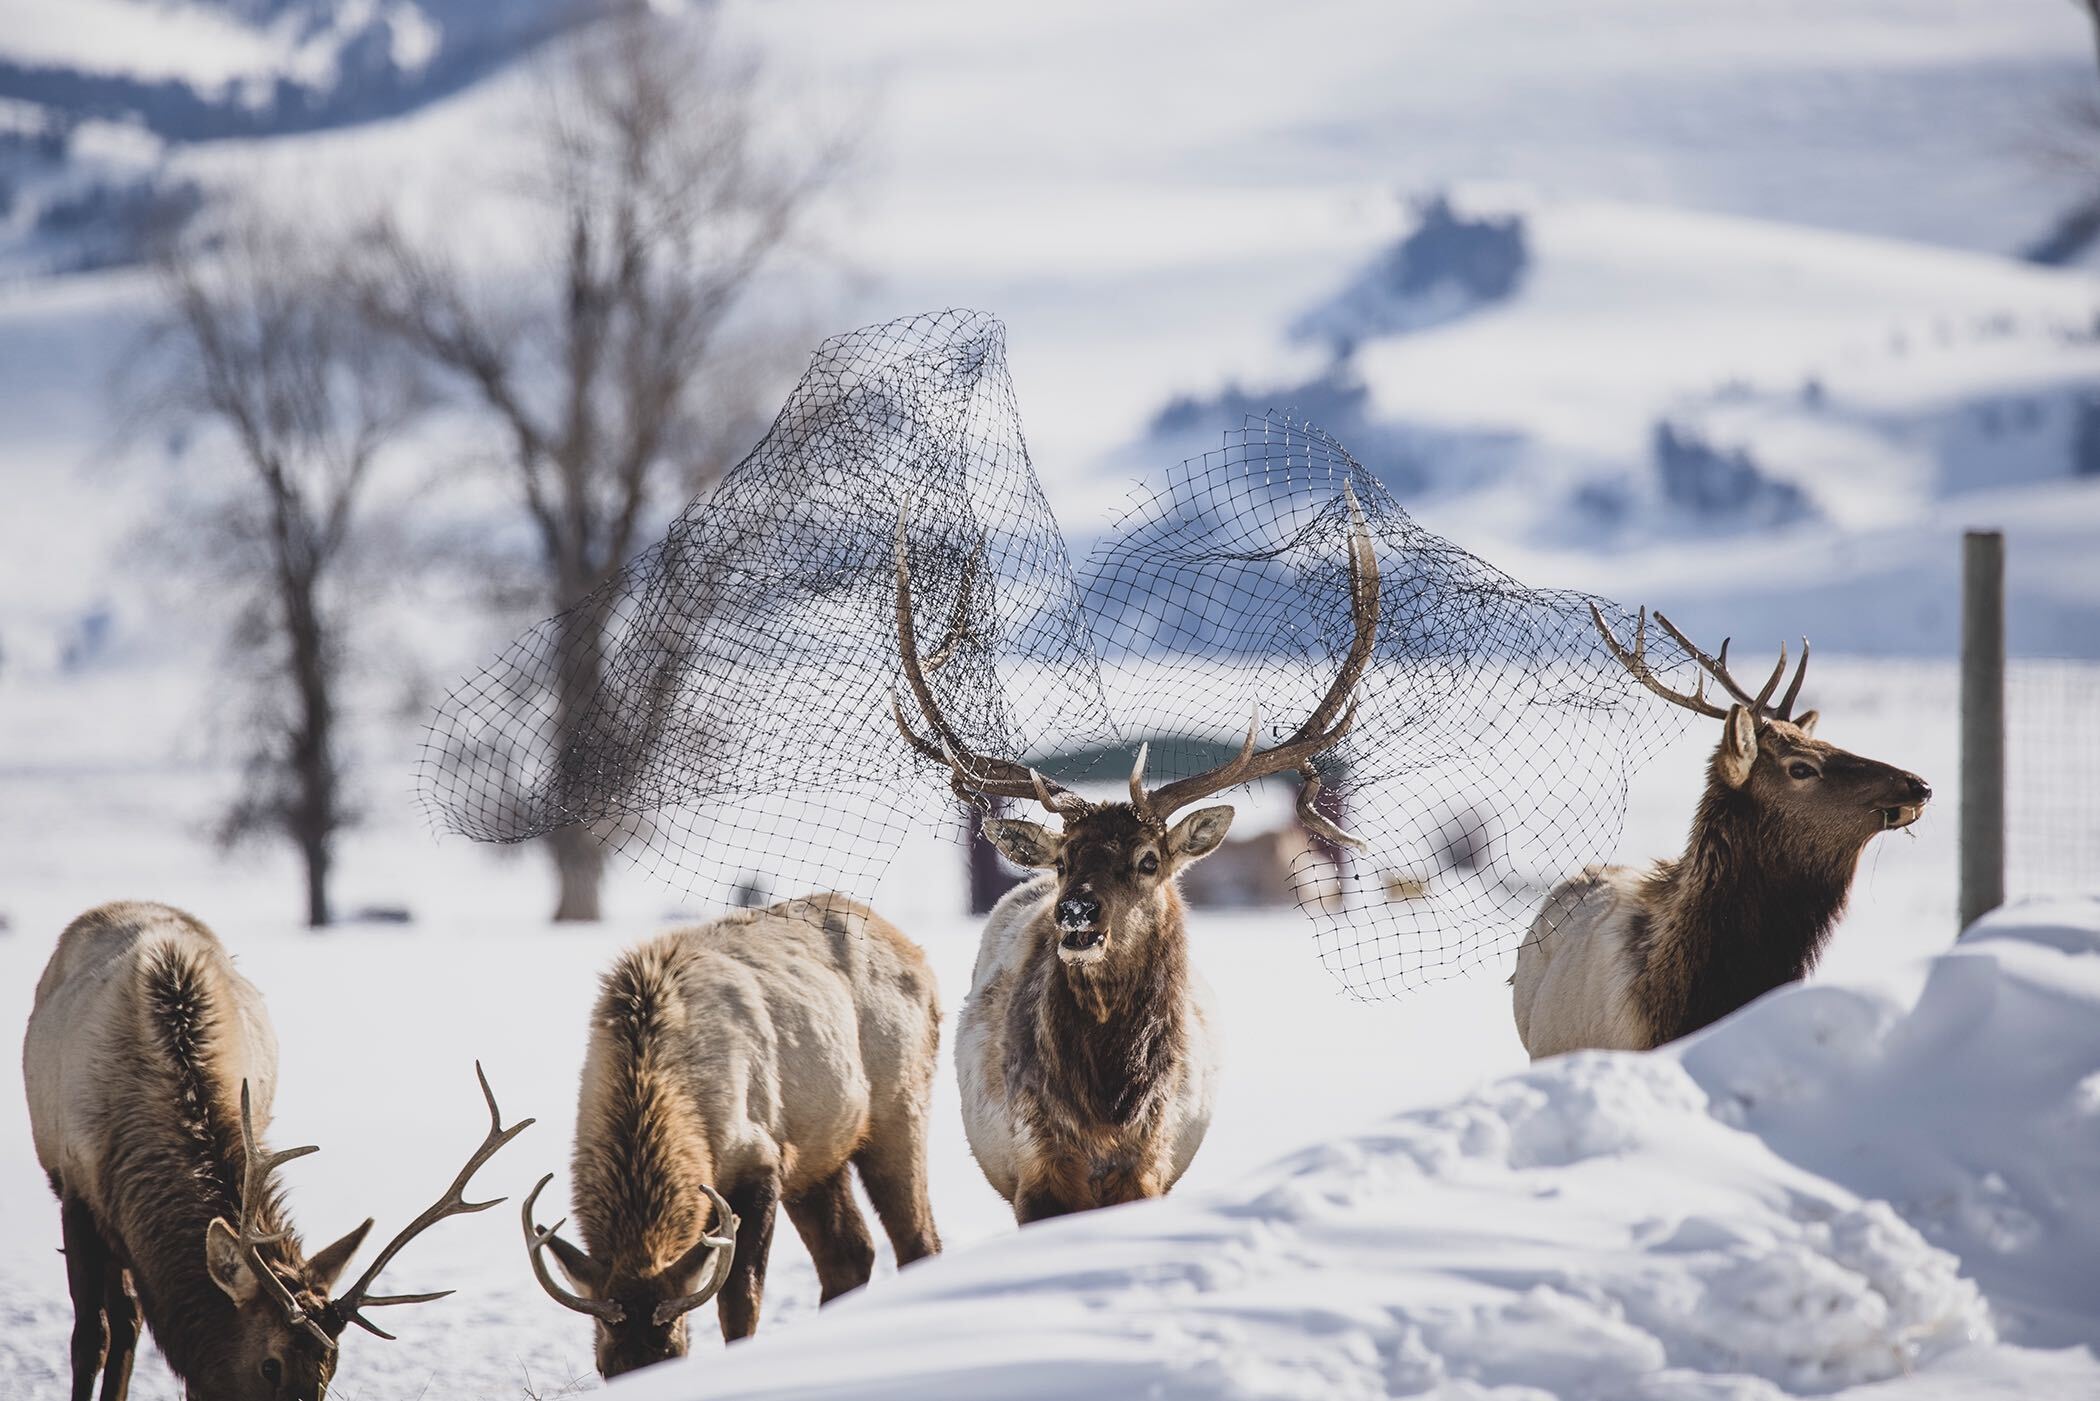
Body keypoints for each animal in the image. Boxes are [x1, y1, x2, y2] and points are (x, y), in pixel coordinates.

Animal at [521, 892, 942, 1378]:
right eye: (606, 1366)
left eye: (673, 1354)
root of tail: (916, 955)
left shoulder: (758, 1162)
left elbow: (741, 1300)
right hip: (821, 1152)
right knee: (850, 1255)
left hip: (901, 1109)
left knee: (918, 1240)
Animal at [891, 486, 1381, 1223]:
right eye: (1063, 858)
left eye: (1149, 860)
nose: (1076, 913)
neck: (1107, 1111)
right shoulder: (1037, 1172)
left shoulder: (1149, 1167)